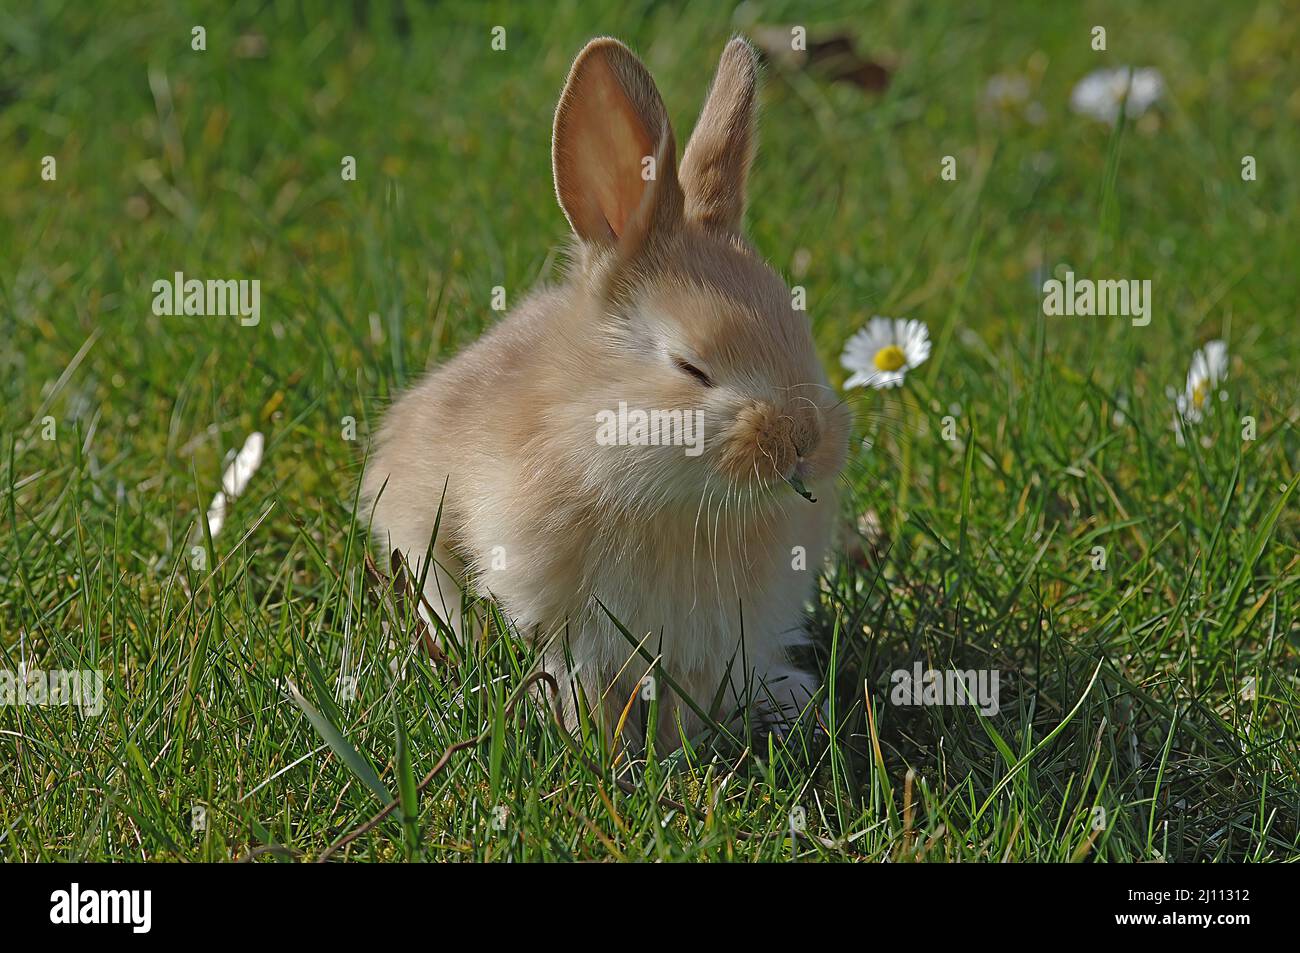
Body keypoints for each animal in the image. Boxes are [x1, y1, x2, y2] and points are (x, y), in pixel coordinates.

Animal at [363, 36, 851, 747]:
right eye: (690, 367)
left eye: (802, 332)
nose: (805, 443)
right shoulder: (576, 631)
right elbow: (588, 688)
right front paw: (604, 746)